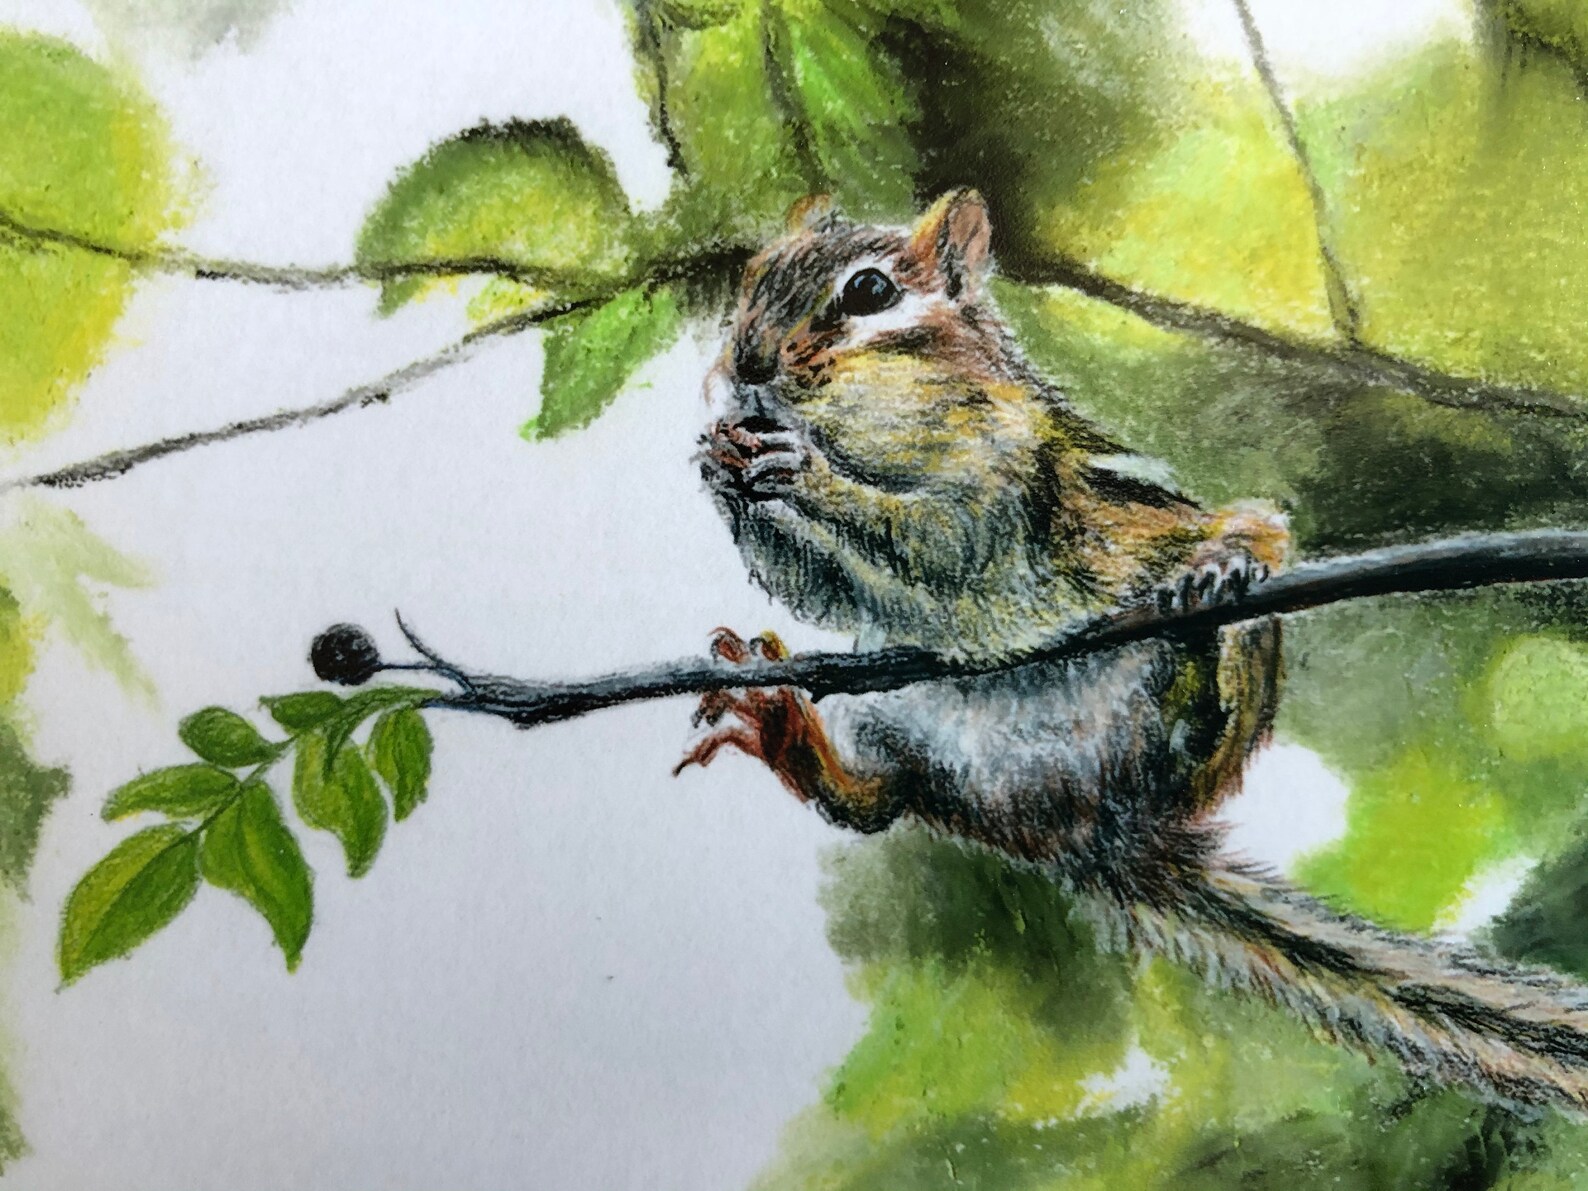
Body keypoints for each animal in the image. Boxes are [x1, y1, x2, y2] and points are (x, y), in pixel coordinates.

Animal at [676, 189, 1588, 1112]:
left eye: (869, 291)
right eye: (752, 276)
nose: (745, 362)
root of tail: (1089, 832)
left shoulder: (1004, 477)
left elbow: (943, 537)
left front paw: (794, 466)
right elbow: (816, 583)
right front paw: (724, 463)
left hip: (1194, 708)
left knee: (1202, 733)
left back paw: (1215, 609)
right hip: (901, 724)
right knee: (877, 799)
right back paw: (782, 725)